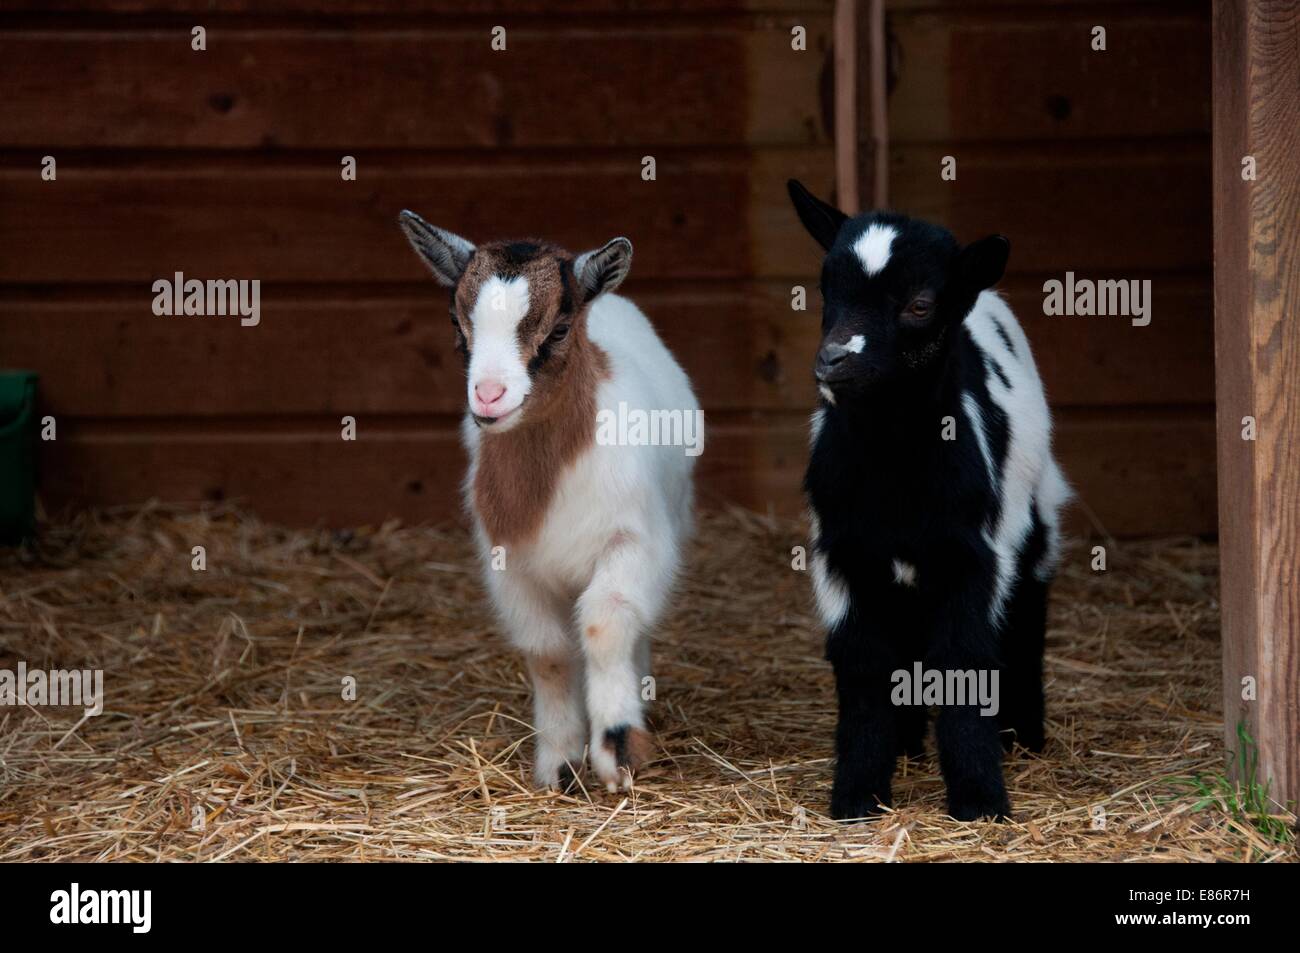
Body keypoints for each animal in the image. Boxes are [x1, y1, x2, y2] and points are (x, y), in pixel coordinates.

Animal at [398, 211, 699, 792]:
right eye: (457, 324)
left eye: (559, 328)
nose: (489, 396)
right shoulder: (512, 566)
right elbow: (549, 653)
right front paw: (561, 764)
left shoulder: (634, 544)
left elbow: (605, 626)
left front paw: (617, 750)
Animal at [787, 180, 1070, 821]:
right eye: (826, 288)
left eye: (920, 304)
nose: (833, 360)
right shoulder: (844, 556)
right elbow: (863, 665)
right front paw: (858, 796)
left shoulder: (972, 557)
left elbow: (965, 658)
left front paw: (979, 800)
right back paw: (909, 743)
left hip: (1035, 515)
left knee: (1029, 605)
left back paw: (1024, 735)